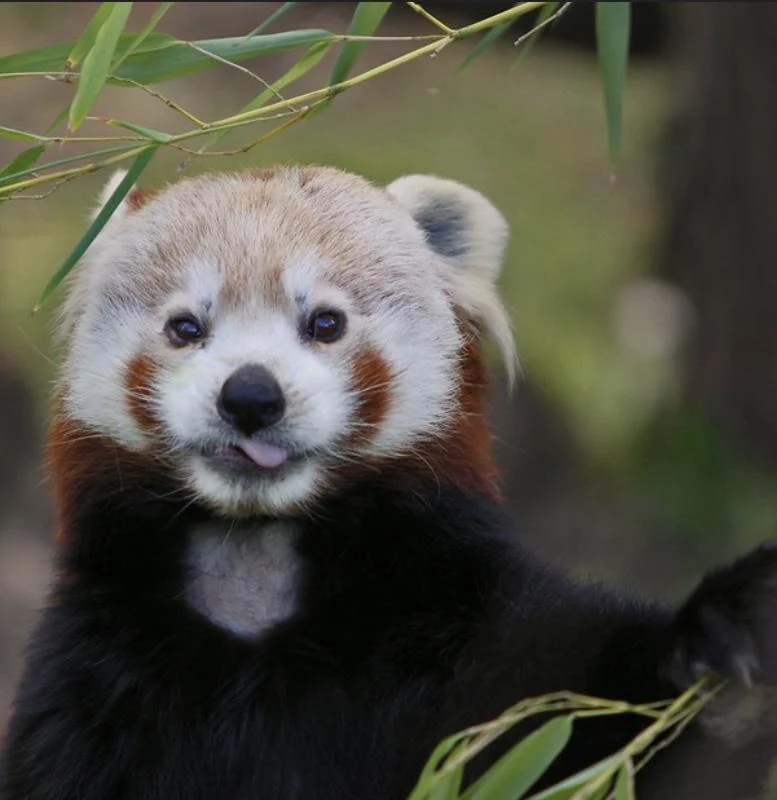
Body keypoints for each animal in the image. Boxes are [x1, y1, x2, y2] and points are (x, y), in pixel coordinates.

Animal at [1, 165, 775, 799]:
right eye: (186, 327)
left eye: (325, 323)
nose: (250, 396)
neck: (257, 565)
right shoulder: (92, 684)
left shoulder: (468, 640)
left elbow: (604, 719)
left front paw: (730, 632)